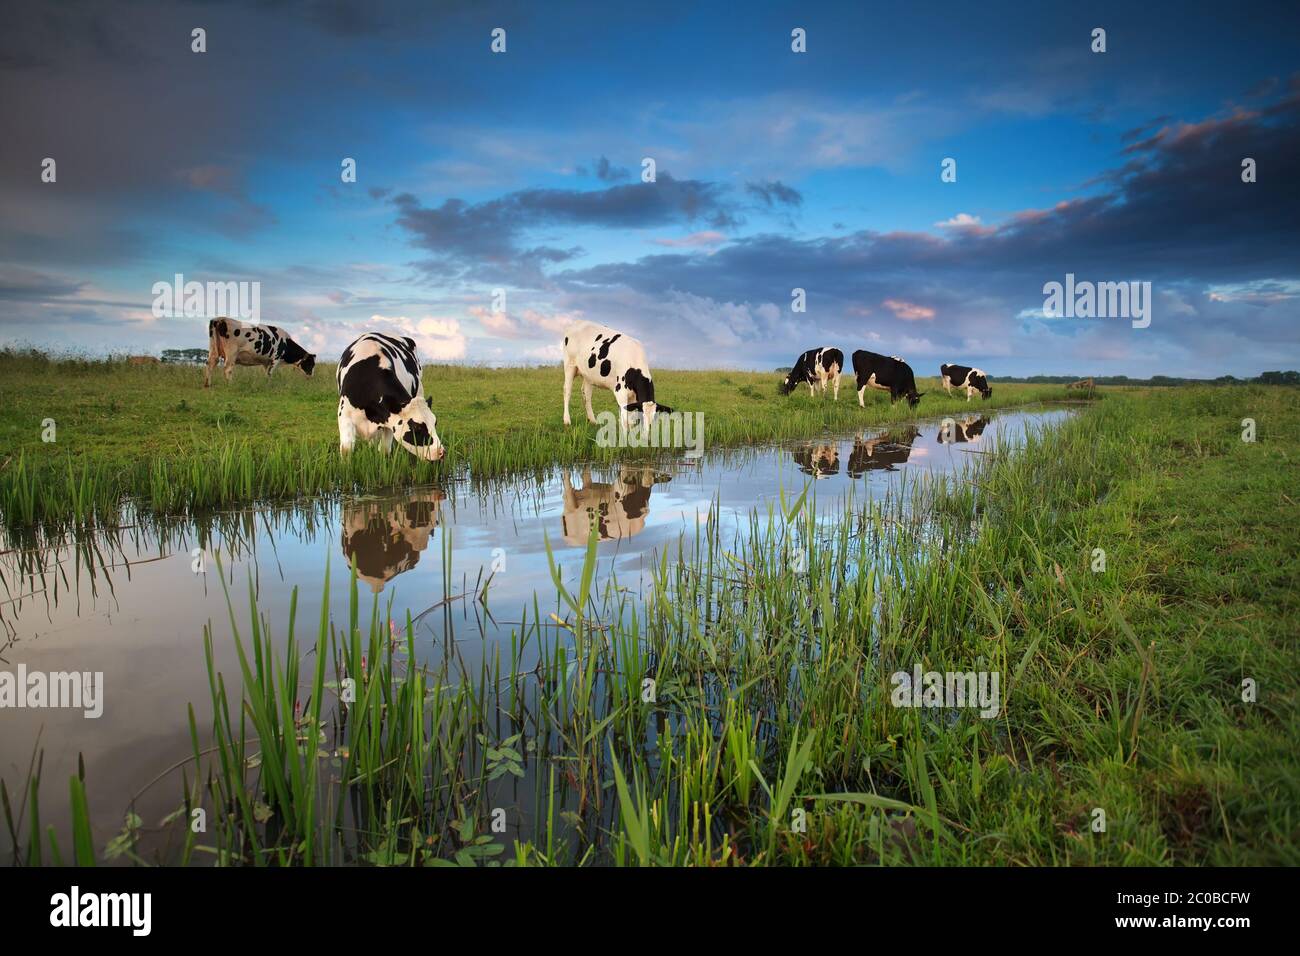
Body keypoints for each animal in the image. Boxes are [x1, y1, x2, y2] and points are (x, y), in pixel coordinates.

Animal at [336, 333, 445, 461]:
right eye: (417, 427)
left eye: (435, 423)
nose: (441, 452)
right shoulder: (344, 416)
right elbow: (346, 451)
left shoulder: (389, 423)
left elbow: (384, 451)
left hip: (419, 389)